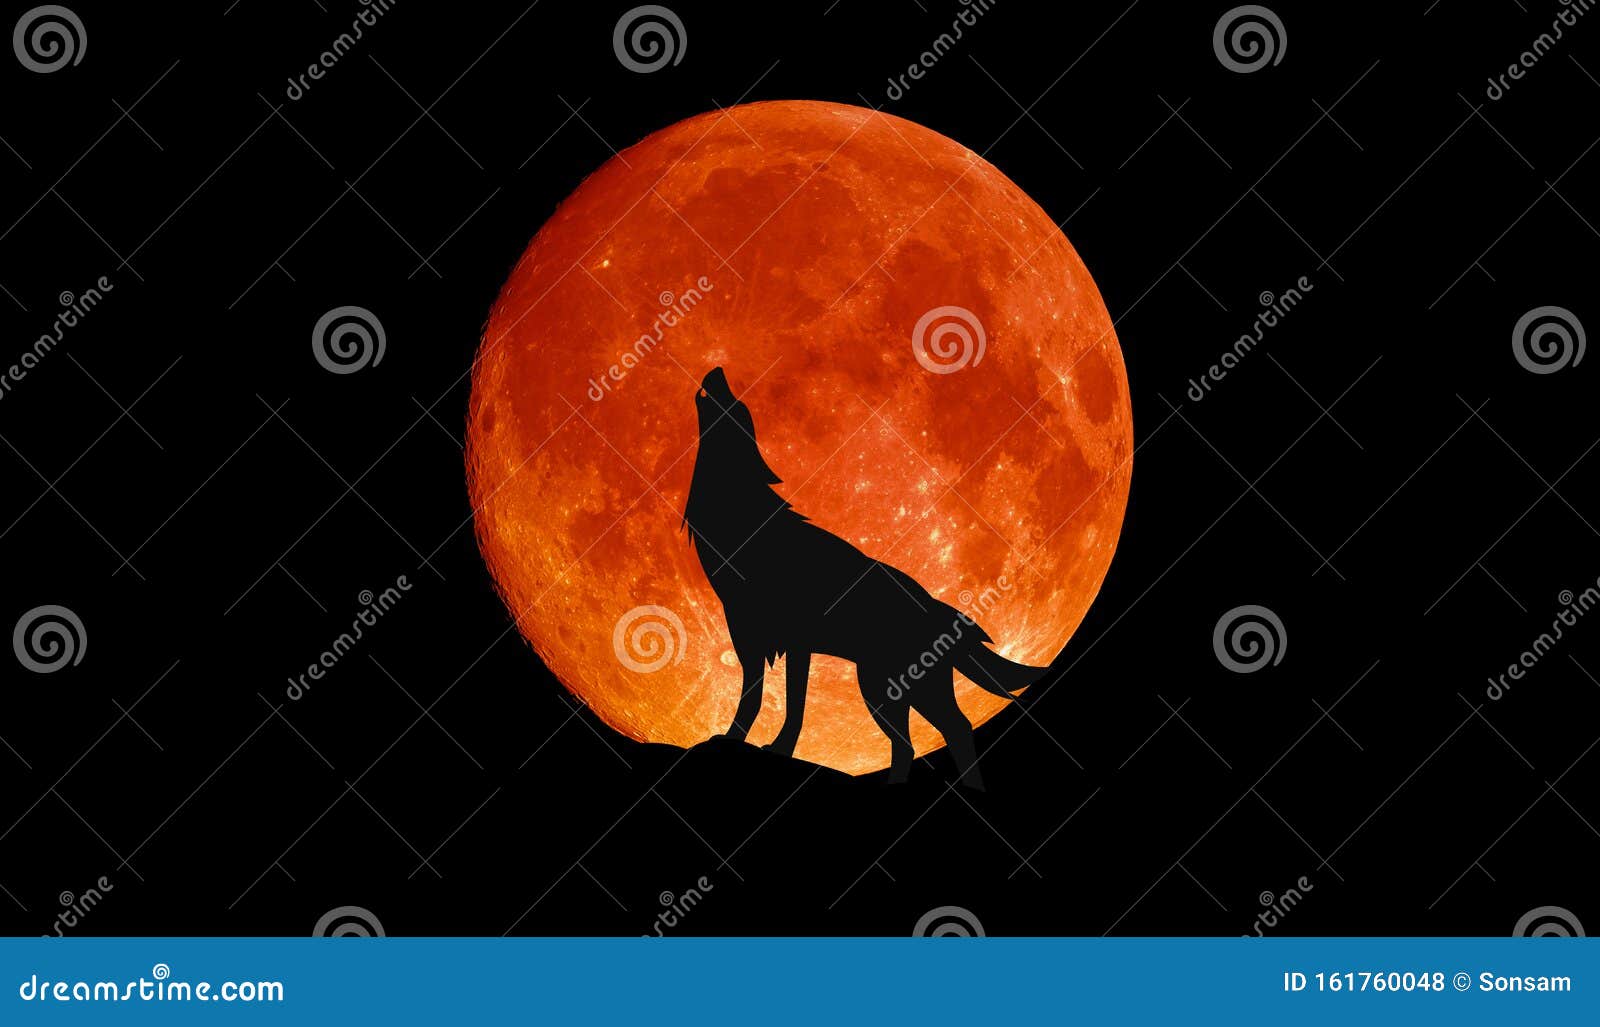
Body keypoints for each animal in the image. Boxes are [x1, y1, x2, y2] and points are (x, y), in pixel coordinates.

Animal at [682, 367, 1049, 789]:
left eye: (737, 407)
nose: (717, 370)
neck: (744, 524)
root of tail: (942, 611)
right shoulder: (754, 638)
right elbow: (759, 699)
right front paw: (742, 739)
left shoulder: (789, 640)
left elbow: (785, 705)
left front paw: (769, 746)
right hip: (885, 690)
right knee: (911, 743)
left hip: (895, 688)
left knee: (953, 729)